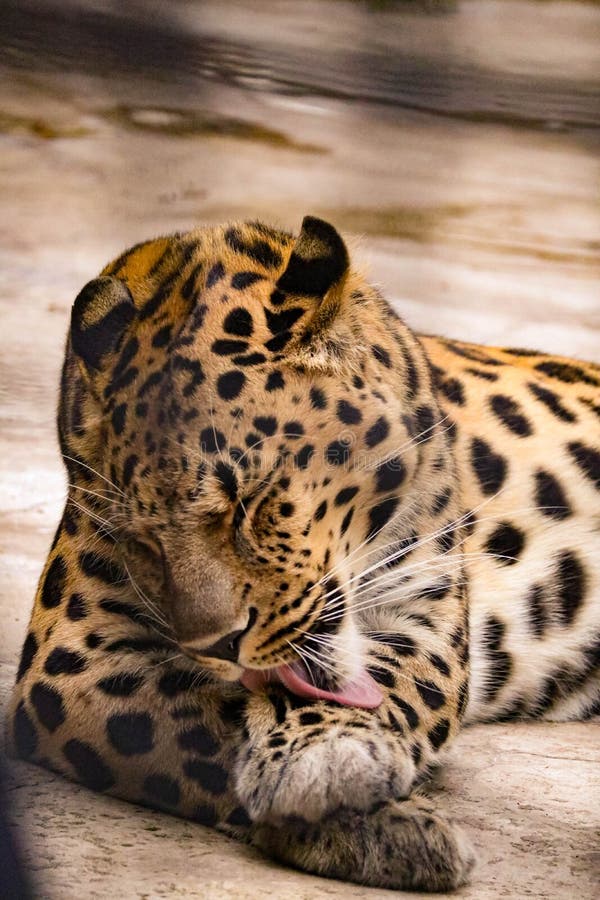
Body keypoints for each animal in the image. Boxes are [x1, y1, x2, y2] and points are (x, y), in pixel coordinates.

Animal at [6, 216, 600, 892]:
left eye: (249, 501)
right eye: (141, 541)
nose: (219, 645)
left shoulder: (425, 610)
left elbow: (383, 686)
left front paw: (329, 773)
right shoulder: (73, 663)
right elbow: (197, 730)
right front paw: (354, 811)